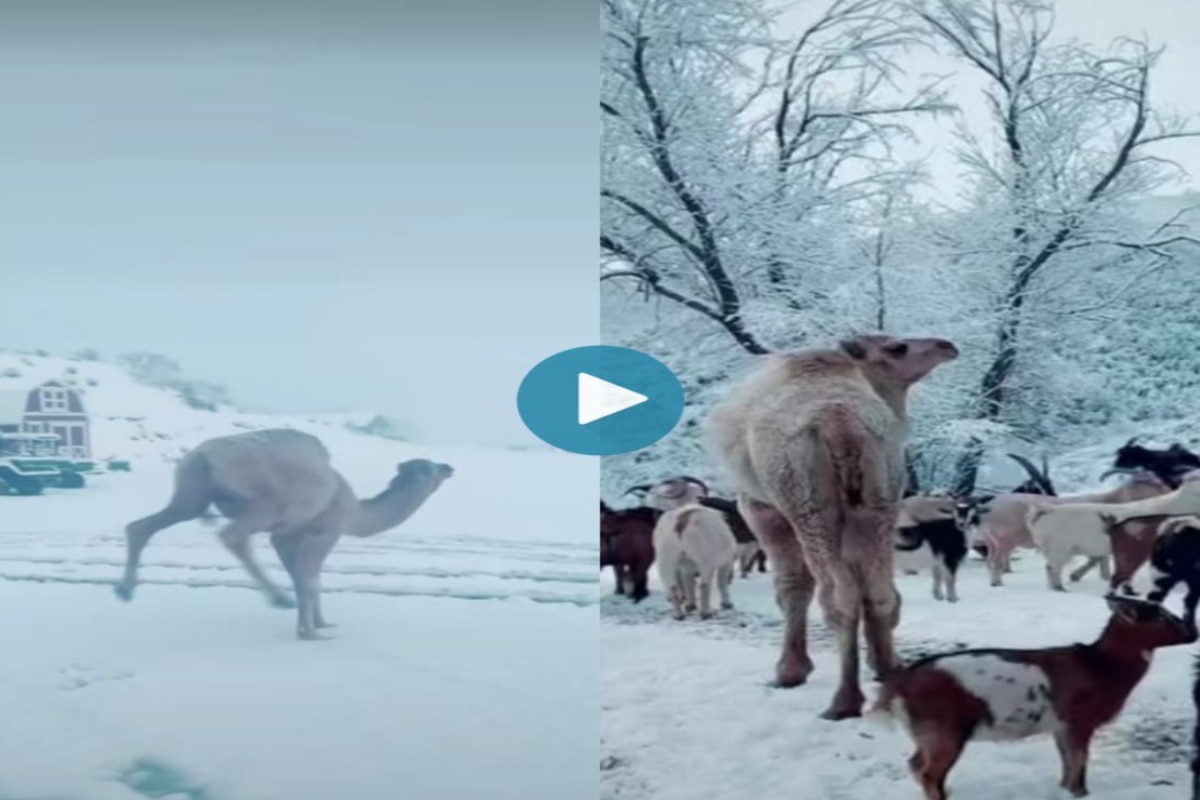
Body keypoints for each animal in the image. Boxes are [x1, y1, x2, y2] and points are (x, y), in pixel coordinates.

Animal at [115, 428, 454, 640]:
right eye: (432, 469)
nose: (449, 467)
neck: (356, 512)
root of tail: (203, 454)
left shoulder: (287, 535)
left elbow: (303, 579)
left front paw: (316, 625)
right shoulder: (324, 529)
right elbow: (311, 581)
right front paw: (314, 633)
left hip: (192, 493)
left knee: (144, 525)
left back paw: (125, 590)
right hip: (266, 500)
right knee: (233, 535)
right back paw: (279, 598)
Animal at [708, 334, 958, 720]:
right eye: (896, 346)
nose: (946, 345)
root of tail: (840, 421)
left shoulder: (762, 508)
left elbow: (792, 584)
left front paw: (789, 672)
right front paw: (880, 662)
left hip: (808, 504)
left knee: (837, 595)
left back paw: (843, 701)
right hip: (879, 497)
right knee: (879, 591)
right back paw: (888, 676)